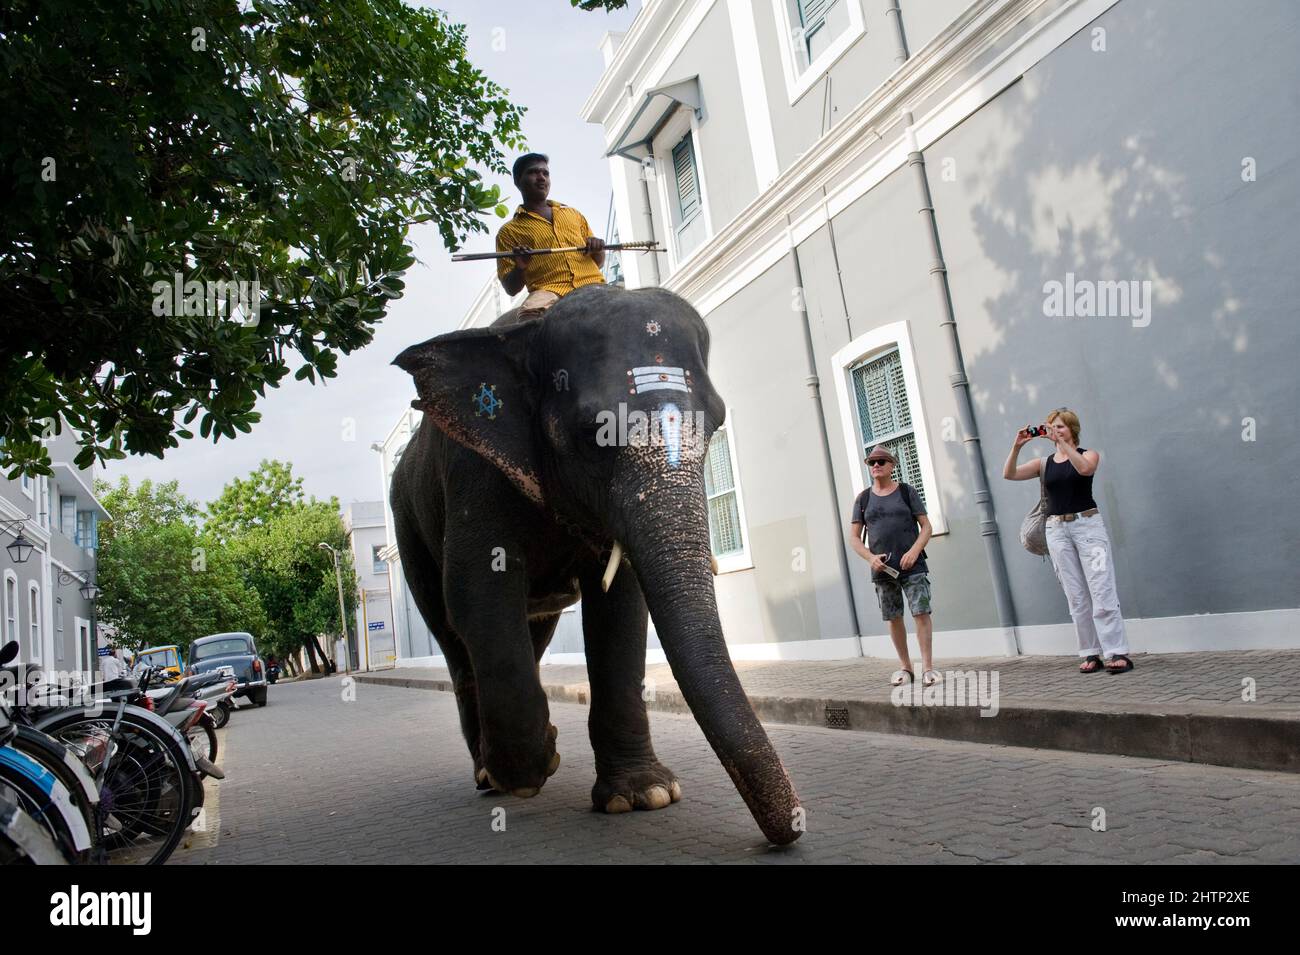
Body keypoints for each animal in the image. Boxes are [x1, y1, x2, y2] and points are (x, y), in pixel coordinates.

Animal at [390, 282, 801, 845]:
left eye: (716, 422)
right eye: (593, 433)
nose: (791, 831)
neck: (529, 333)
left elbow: (620, 605)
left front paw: (643, 797)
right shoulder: (474, 468)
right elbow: (477, 590)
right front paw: (533, 769)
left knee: (531, 633)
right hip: (407, 522)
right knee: (453, 636)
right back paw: (490, 776)